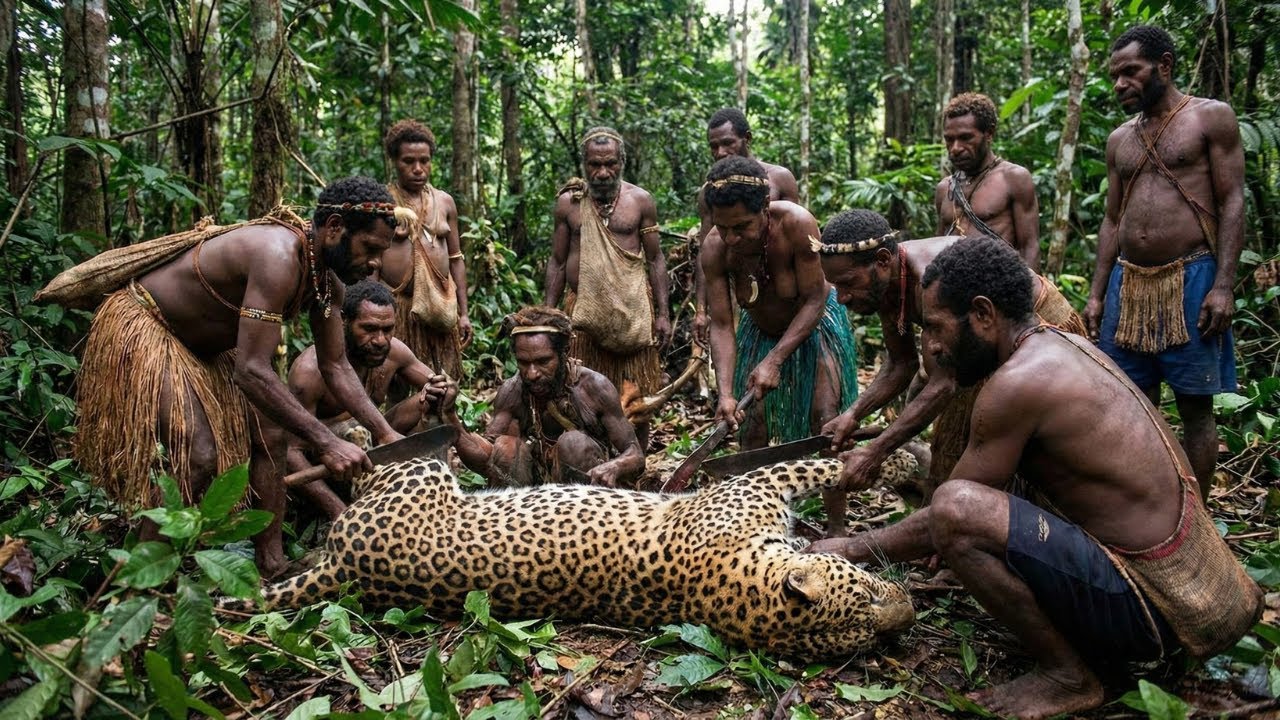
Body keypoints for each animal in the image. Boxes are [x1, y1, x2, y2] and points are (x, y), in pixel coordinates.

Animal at [240, 452, 919, 658]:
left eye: (866, 639)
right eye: (863, 599)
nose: (909, 614)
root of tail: (341, 567)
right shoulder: (753, 485)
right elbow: (823, 461)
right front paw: (896, 463)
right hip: (423, 469)